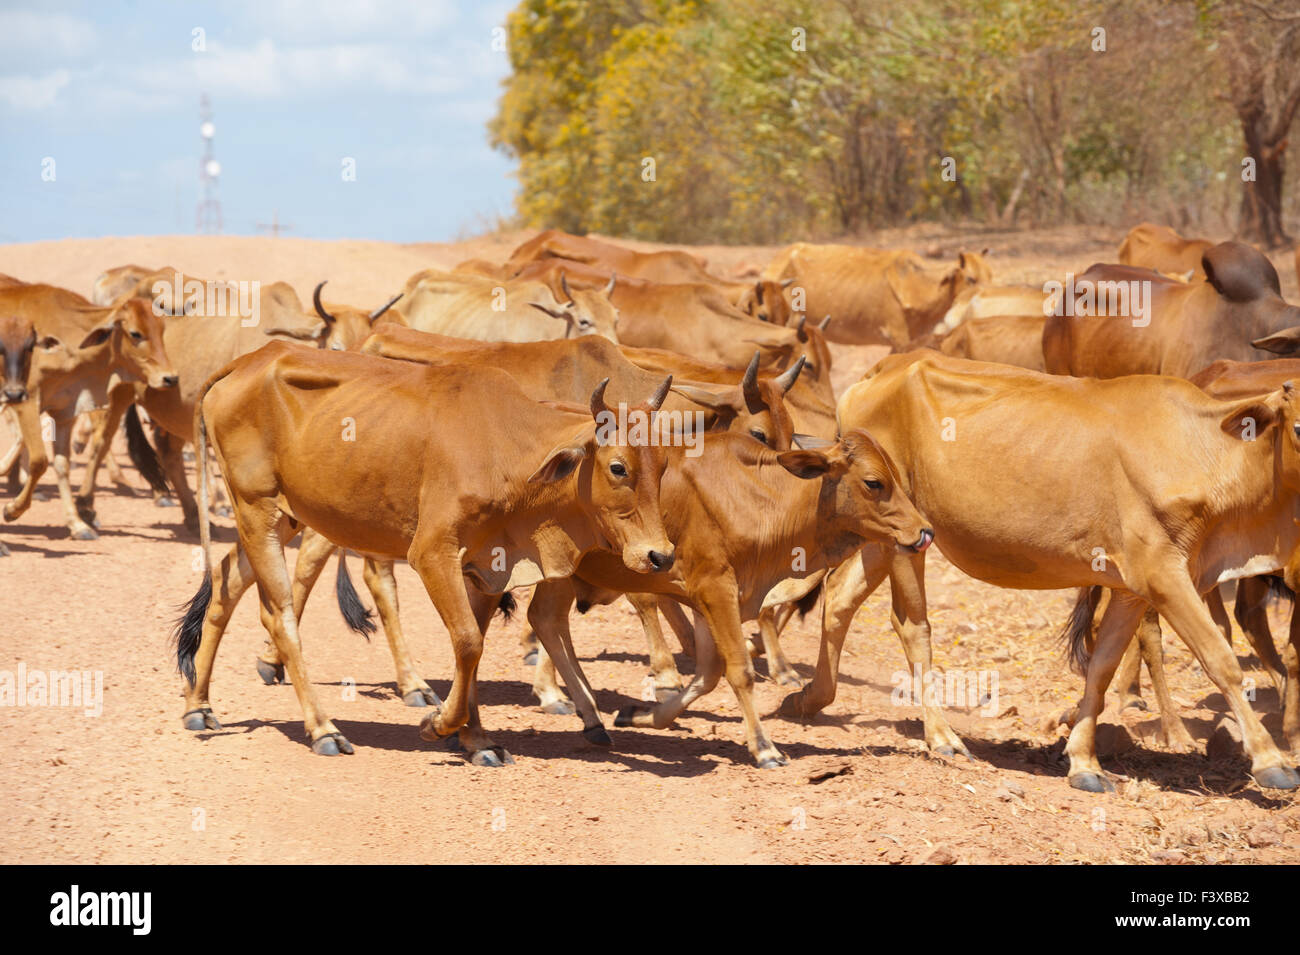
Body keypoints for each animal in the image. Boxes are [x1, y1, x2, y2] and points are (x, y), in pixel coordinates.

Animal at [0, 285, 176, 540]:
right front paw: (12, 510)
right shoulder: (26, 399)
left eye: (162, 331)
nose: (170, 378)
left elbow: (61, 465)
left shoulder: (65, 412)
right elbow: (39, 461)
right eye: (135, 334)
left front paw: (77, 524)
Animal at [174, 341, 677, 763]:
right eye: (618, 467)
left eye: (663, 466)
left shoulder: (489, 568)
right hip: (256, 509)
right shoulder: (433, 553)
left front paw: (477, 740)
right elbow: (468, 642)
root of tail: (250, 358)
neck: (507, 448)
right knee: (279, 615)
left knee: (224, 586)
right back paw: (323, 729)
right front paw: (439, 725)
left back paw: (198, 705)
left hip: (284, 517)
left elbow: (473, 648)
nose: (660, 556)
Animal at [780, 352, 1300, 793]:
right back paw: (941, 736)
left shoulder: (1132, 587)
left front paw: (1084, 762)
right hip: (907, 537)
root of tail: (882, 368)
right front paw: (1272, 761)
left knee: (840, 597)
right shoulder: (1164, 576)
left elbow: (1102, 668)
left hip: (881, 536)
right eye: (1297, 421)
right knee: (912, 626)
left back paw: (809, 699)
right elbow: (1221, 660)